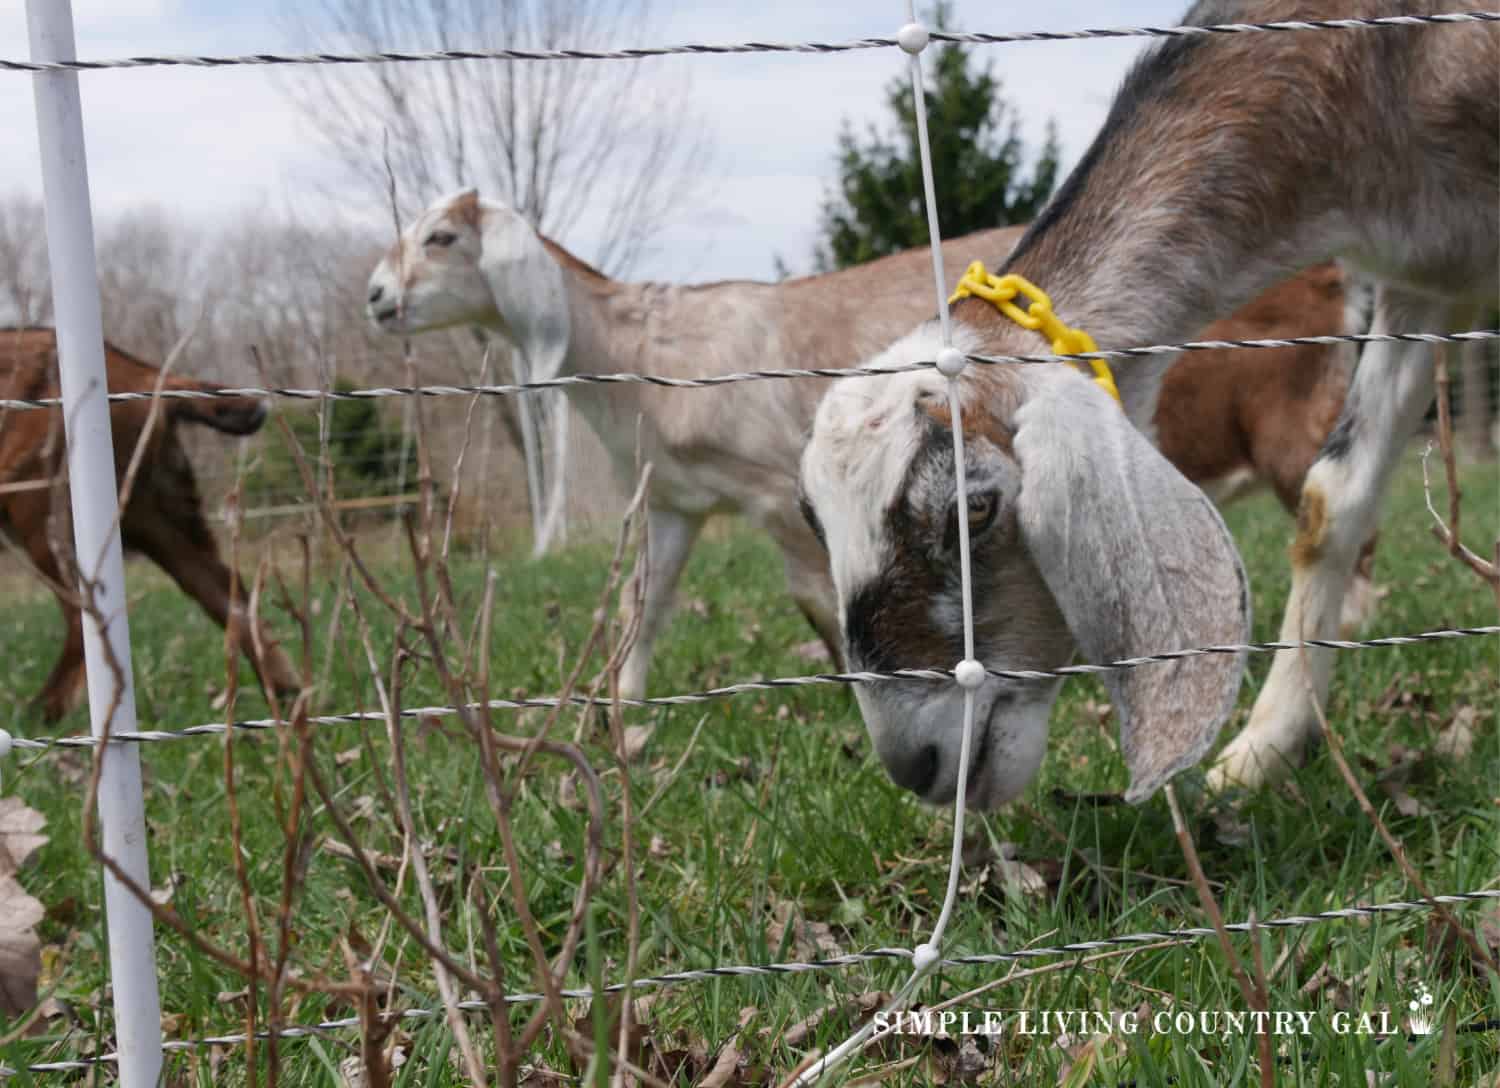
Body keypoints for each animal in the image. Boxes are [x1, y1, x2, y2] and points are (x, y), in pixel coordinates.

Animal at [0, 328, 299, 720]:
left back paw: (40, 715)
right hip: (156, 516)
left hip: (45, 517)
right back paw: (290, 702)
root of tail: (149, 377)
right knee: (229, 598)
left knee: (82, 622)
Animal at [368, 189, 1376, 701]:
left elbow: (817, 600)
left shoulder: (778, 490)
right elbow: (641, 610)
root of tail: (1330, 276)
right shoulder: (675, 500)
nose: (375, 298)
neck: (651, 349)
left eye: (442, 235)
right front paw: (624, 728)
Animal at [798, 0, 1496, 807]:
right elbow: (1333, 498)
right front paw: (1263, 749)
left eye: (975, 507)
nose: (916, 762)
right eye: (813, 522)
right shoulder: (1425, 276)